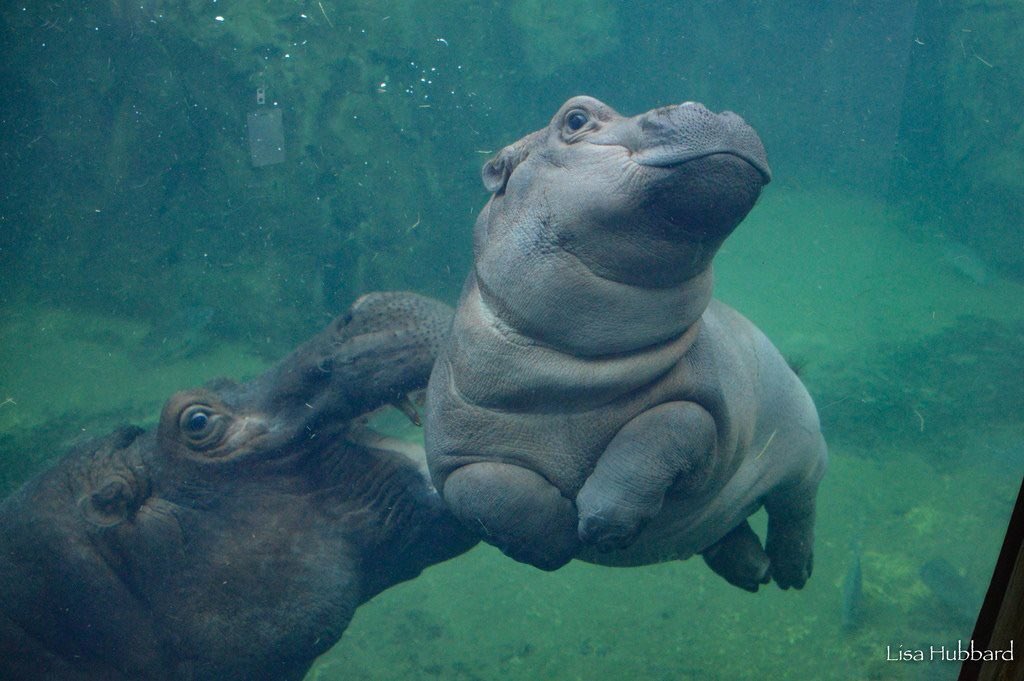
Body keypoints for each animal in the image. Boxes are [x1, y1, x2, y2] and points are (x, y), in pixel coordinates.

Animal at [425, 96, 827, 591]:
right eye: (576, 118)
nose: (711, 107)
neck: (570, 369)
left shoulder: (714, 406)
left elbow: (666, 425)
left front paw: (600, 523)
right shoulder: (451, 452)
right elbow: (482, 490)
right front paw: (556, 537)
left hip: (804, 438)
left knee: (797, 503)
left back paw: (792, 572)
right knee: (732, 528)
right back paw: (751, 570)